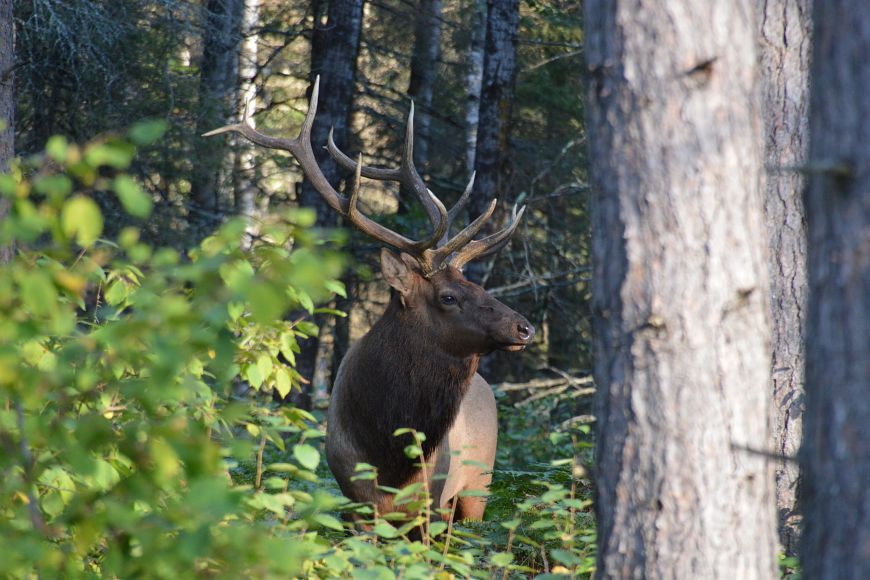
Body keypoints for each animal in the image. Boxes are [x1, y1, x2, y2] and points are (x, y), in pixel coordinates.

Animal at [205, 77, 534, 523]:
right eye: (449, 296)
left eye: (478, 285)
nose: (525, 327)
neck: (388, 452)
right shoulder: (354, 500)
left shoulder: (432, 500)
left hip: (476, 489)